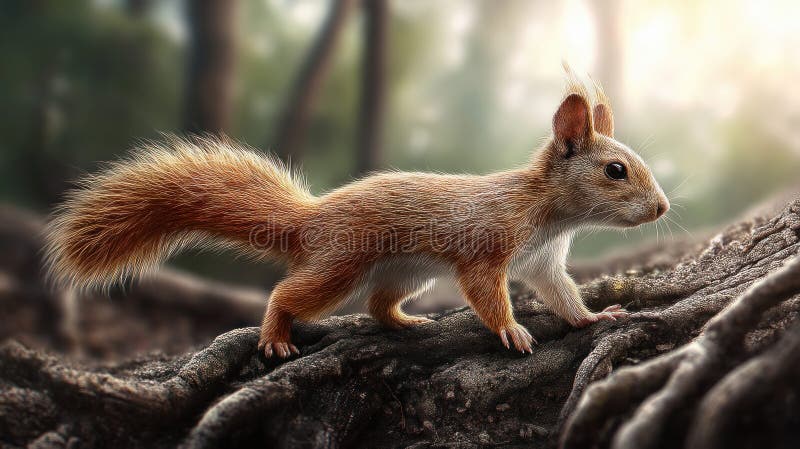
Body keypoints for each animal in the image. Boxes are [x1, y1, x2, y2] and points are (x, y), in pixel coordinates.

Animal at [45, 74, 669, 358]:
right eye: (615, 170)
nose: (662, 207)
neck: (546, 212)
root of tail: (311, 220)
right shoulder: (485, 245)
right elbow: (486, 293)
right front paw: (511, 329)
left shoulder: (543, 261)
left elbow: (562, 294)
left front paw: (593, 318)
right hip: (340, 266)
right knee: (288, 295)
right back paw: (275, 336)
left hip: (405, 273)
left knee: (377, 305)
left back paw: (407, 324)